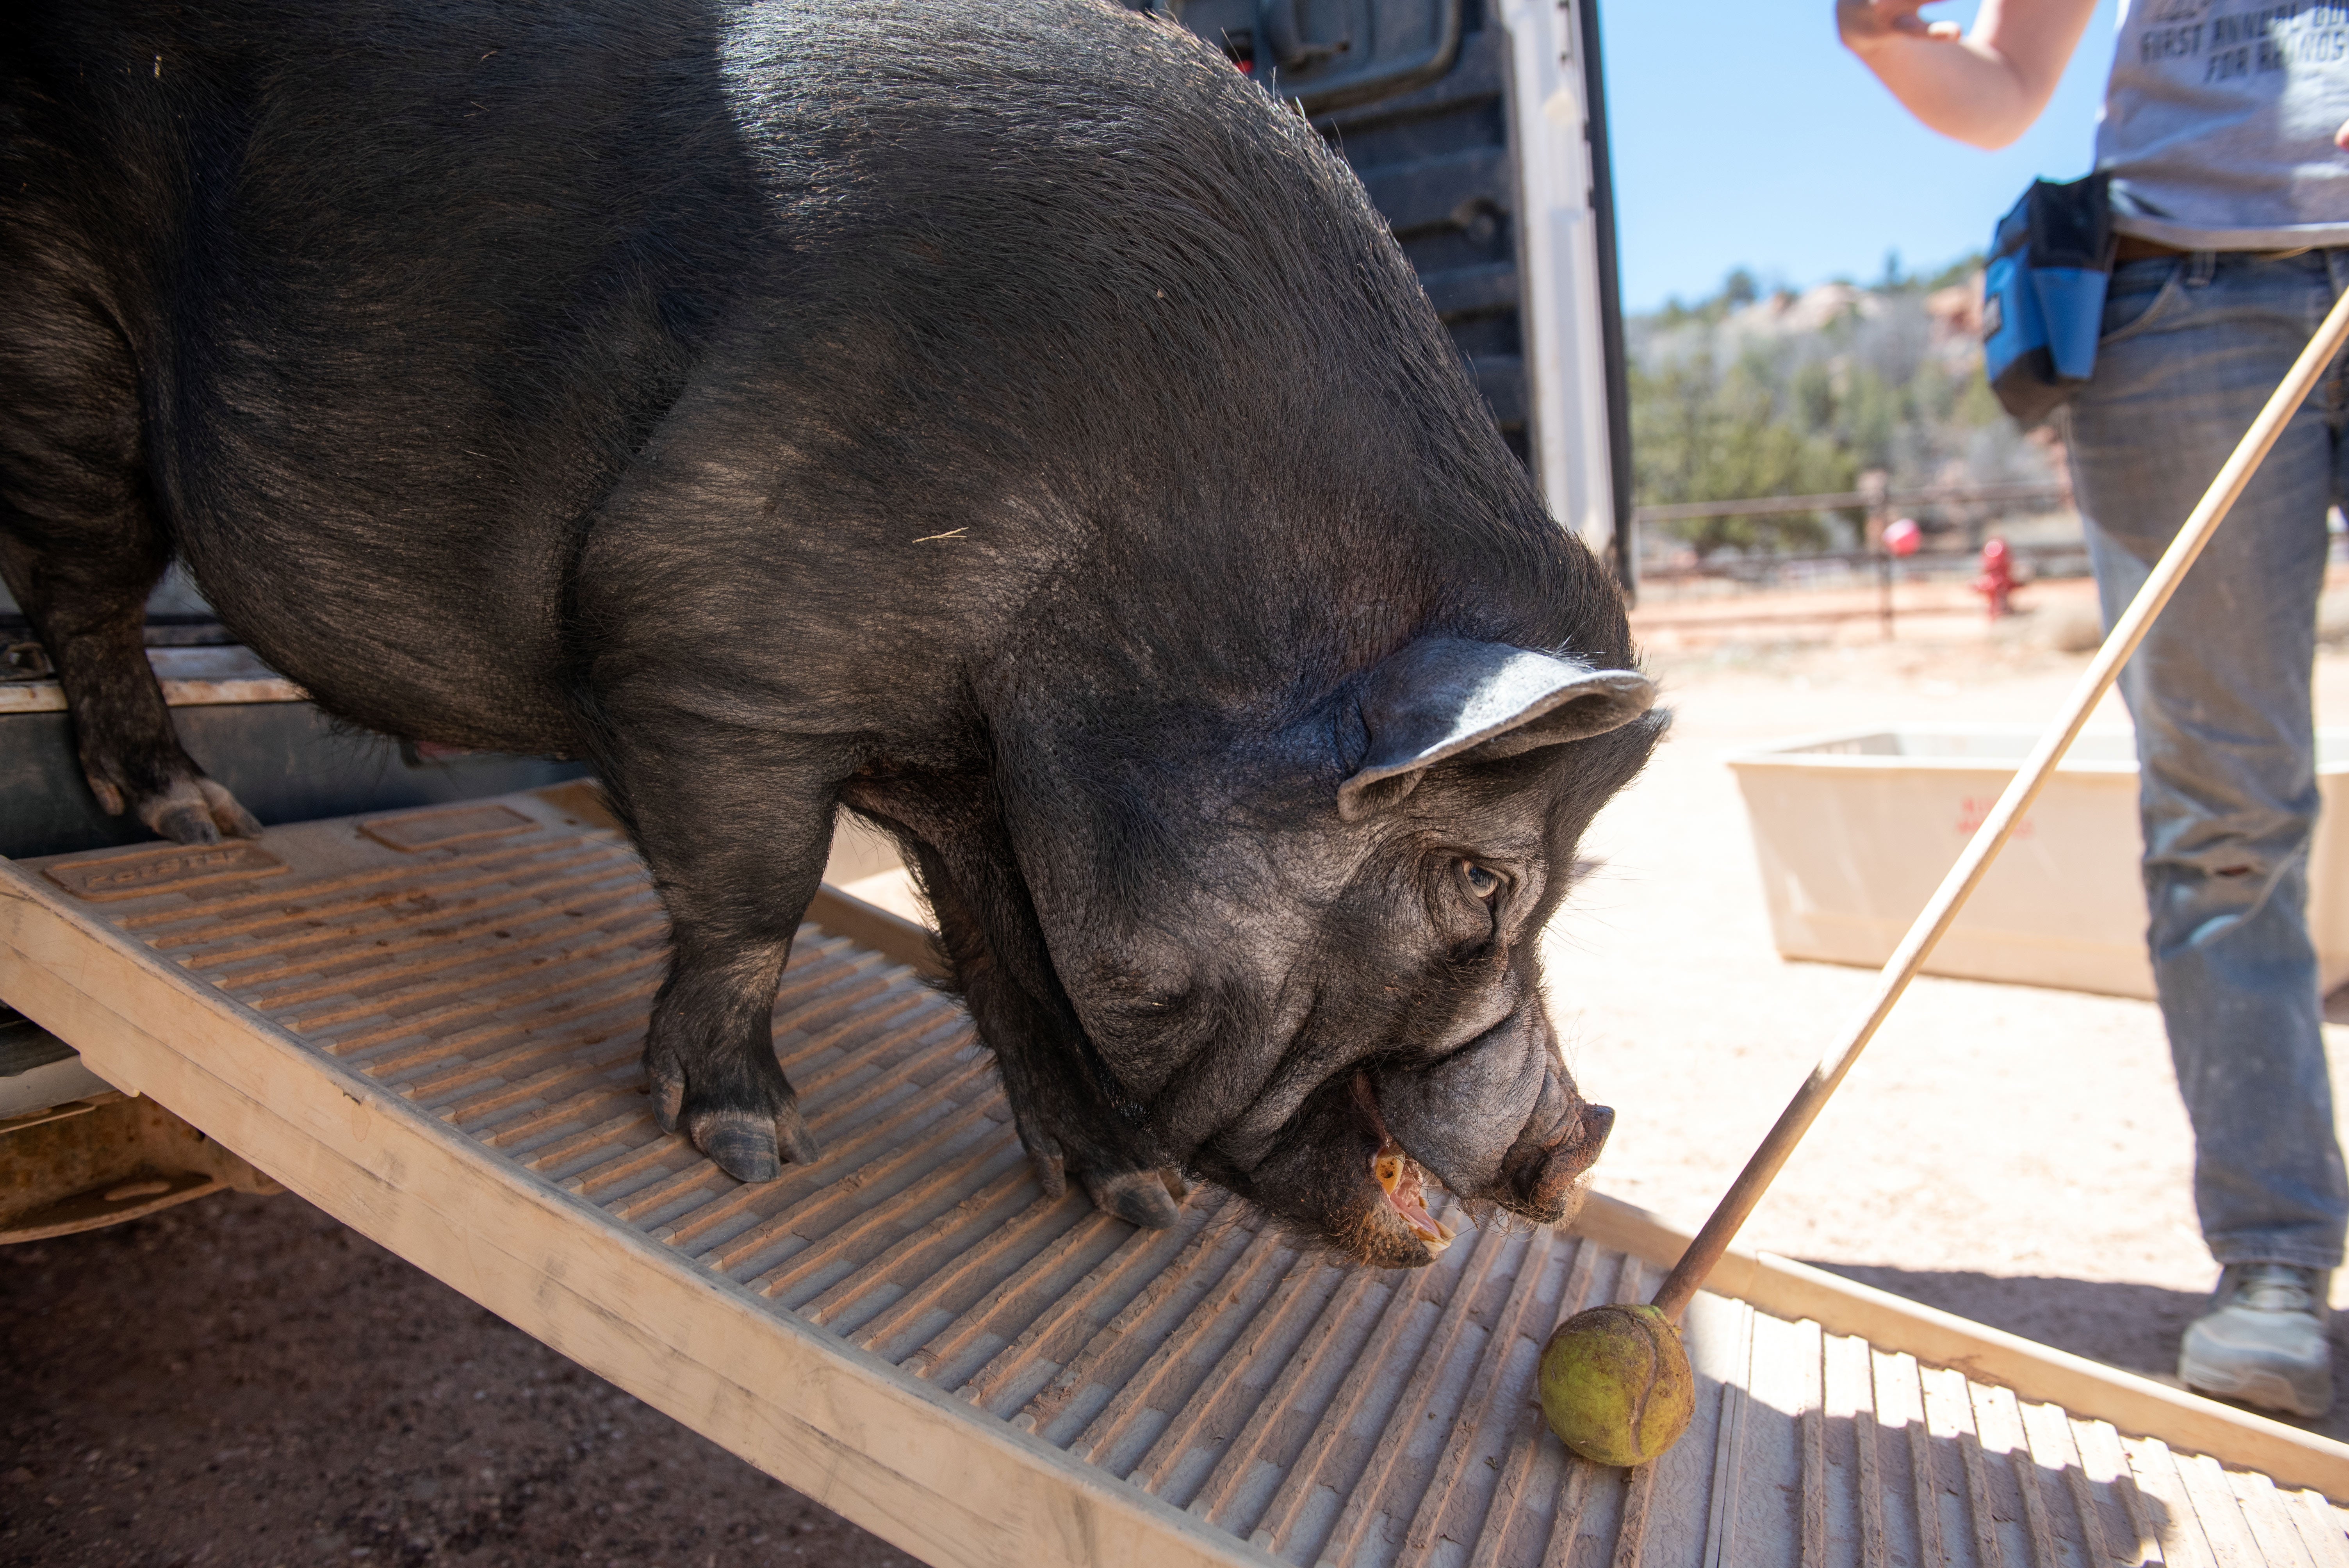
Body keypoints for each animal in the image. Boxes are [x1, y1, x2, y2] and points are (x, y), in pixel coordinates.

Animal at [0, 0, 1663, 1267]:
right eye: (1478, 884)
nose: (1570, 1147)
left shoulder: (964, 764)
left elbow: (1005, 952)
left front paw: (1127, 1199)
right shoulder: (708, 654)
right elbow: (760, 897)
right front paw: (750, 1147)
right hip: (60, 328)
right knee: (83, 576)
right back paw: (191, 817)